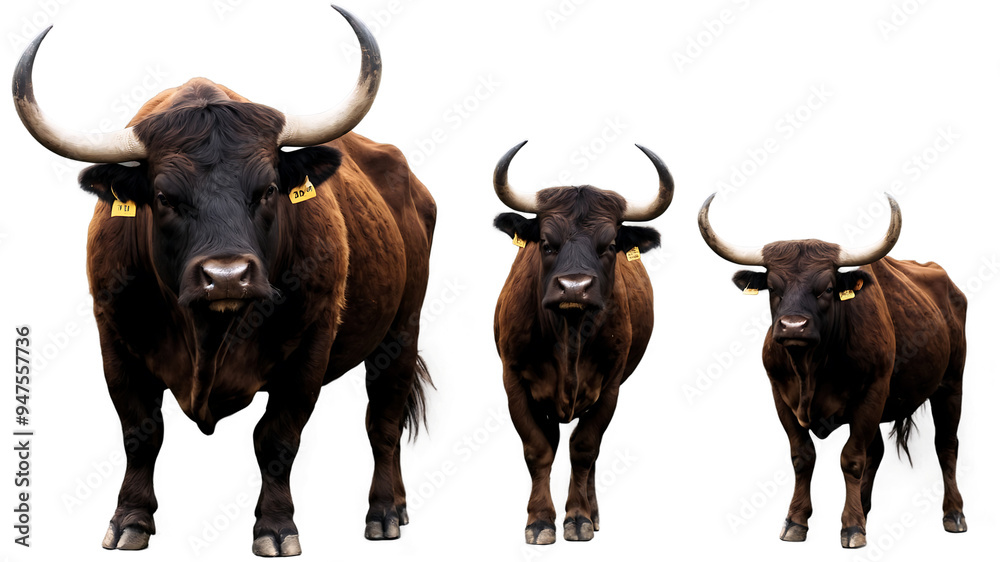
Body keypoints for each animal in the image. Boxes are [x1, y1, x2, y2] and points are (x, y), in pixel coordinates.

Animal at [12, 7, 435, 557]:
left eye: (269, 189)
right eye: (164, 196)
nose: (227, 277)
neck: (206, 335)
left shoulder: (312, 344)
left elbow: (277, 437)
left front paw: (276, 527)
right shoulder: (115, 340)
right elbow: (140, 432)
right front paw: (130, 520)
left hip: (402, 330)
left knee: (383, 420)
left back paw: (384, 512)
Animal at [491, 141, 672, 544]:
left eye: (609, 245)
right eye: (546, 243)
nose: (574, 288)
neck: (569, 337)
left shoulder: (610, 386)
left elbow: (585, 448)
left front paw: (578, 517)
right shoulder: (514, 381)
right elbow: (538, 449)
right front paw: (540, 521)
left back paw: (593, 511)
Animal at [698, 192, 968, 548]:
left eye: (827, 288)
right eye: (773, 287)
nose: (793, 326)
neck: (810, 368)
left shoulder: (872, 393)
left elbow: (851, 458)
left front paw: (851, 527)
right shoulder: (780, 396)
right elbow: (803, 456)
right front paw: (797, 521)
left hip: (951, 384)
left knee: (946, 444)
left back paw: (953, 514)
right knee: (877, 451)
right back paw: (864, 510)